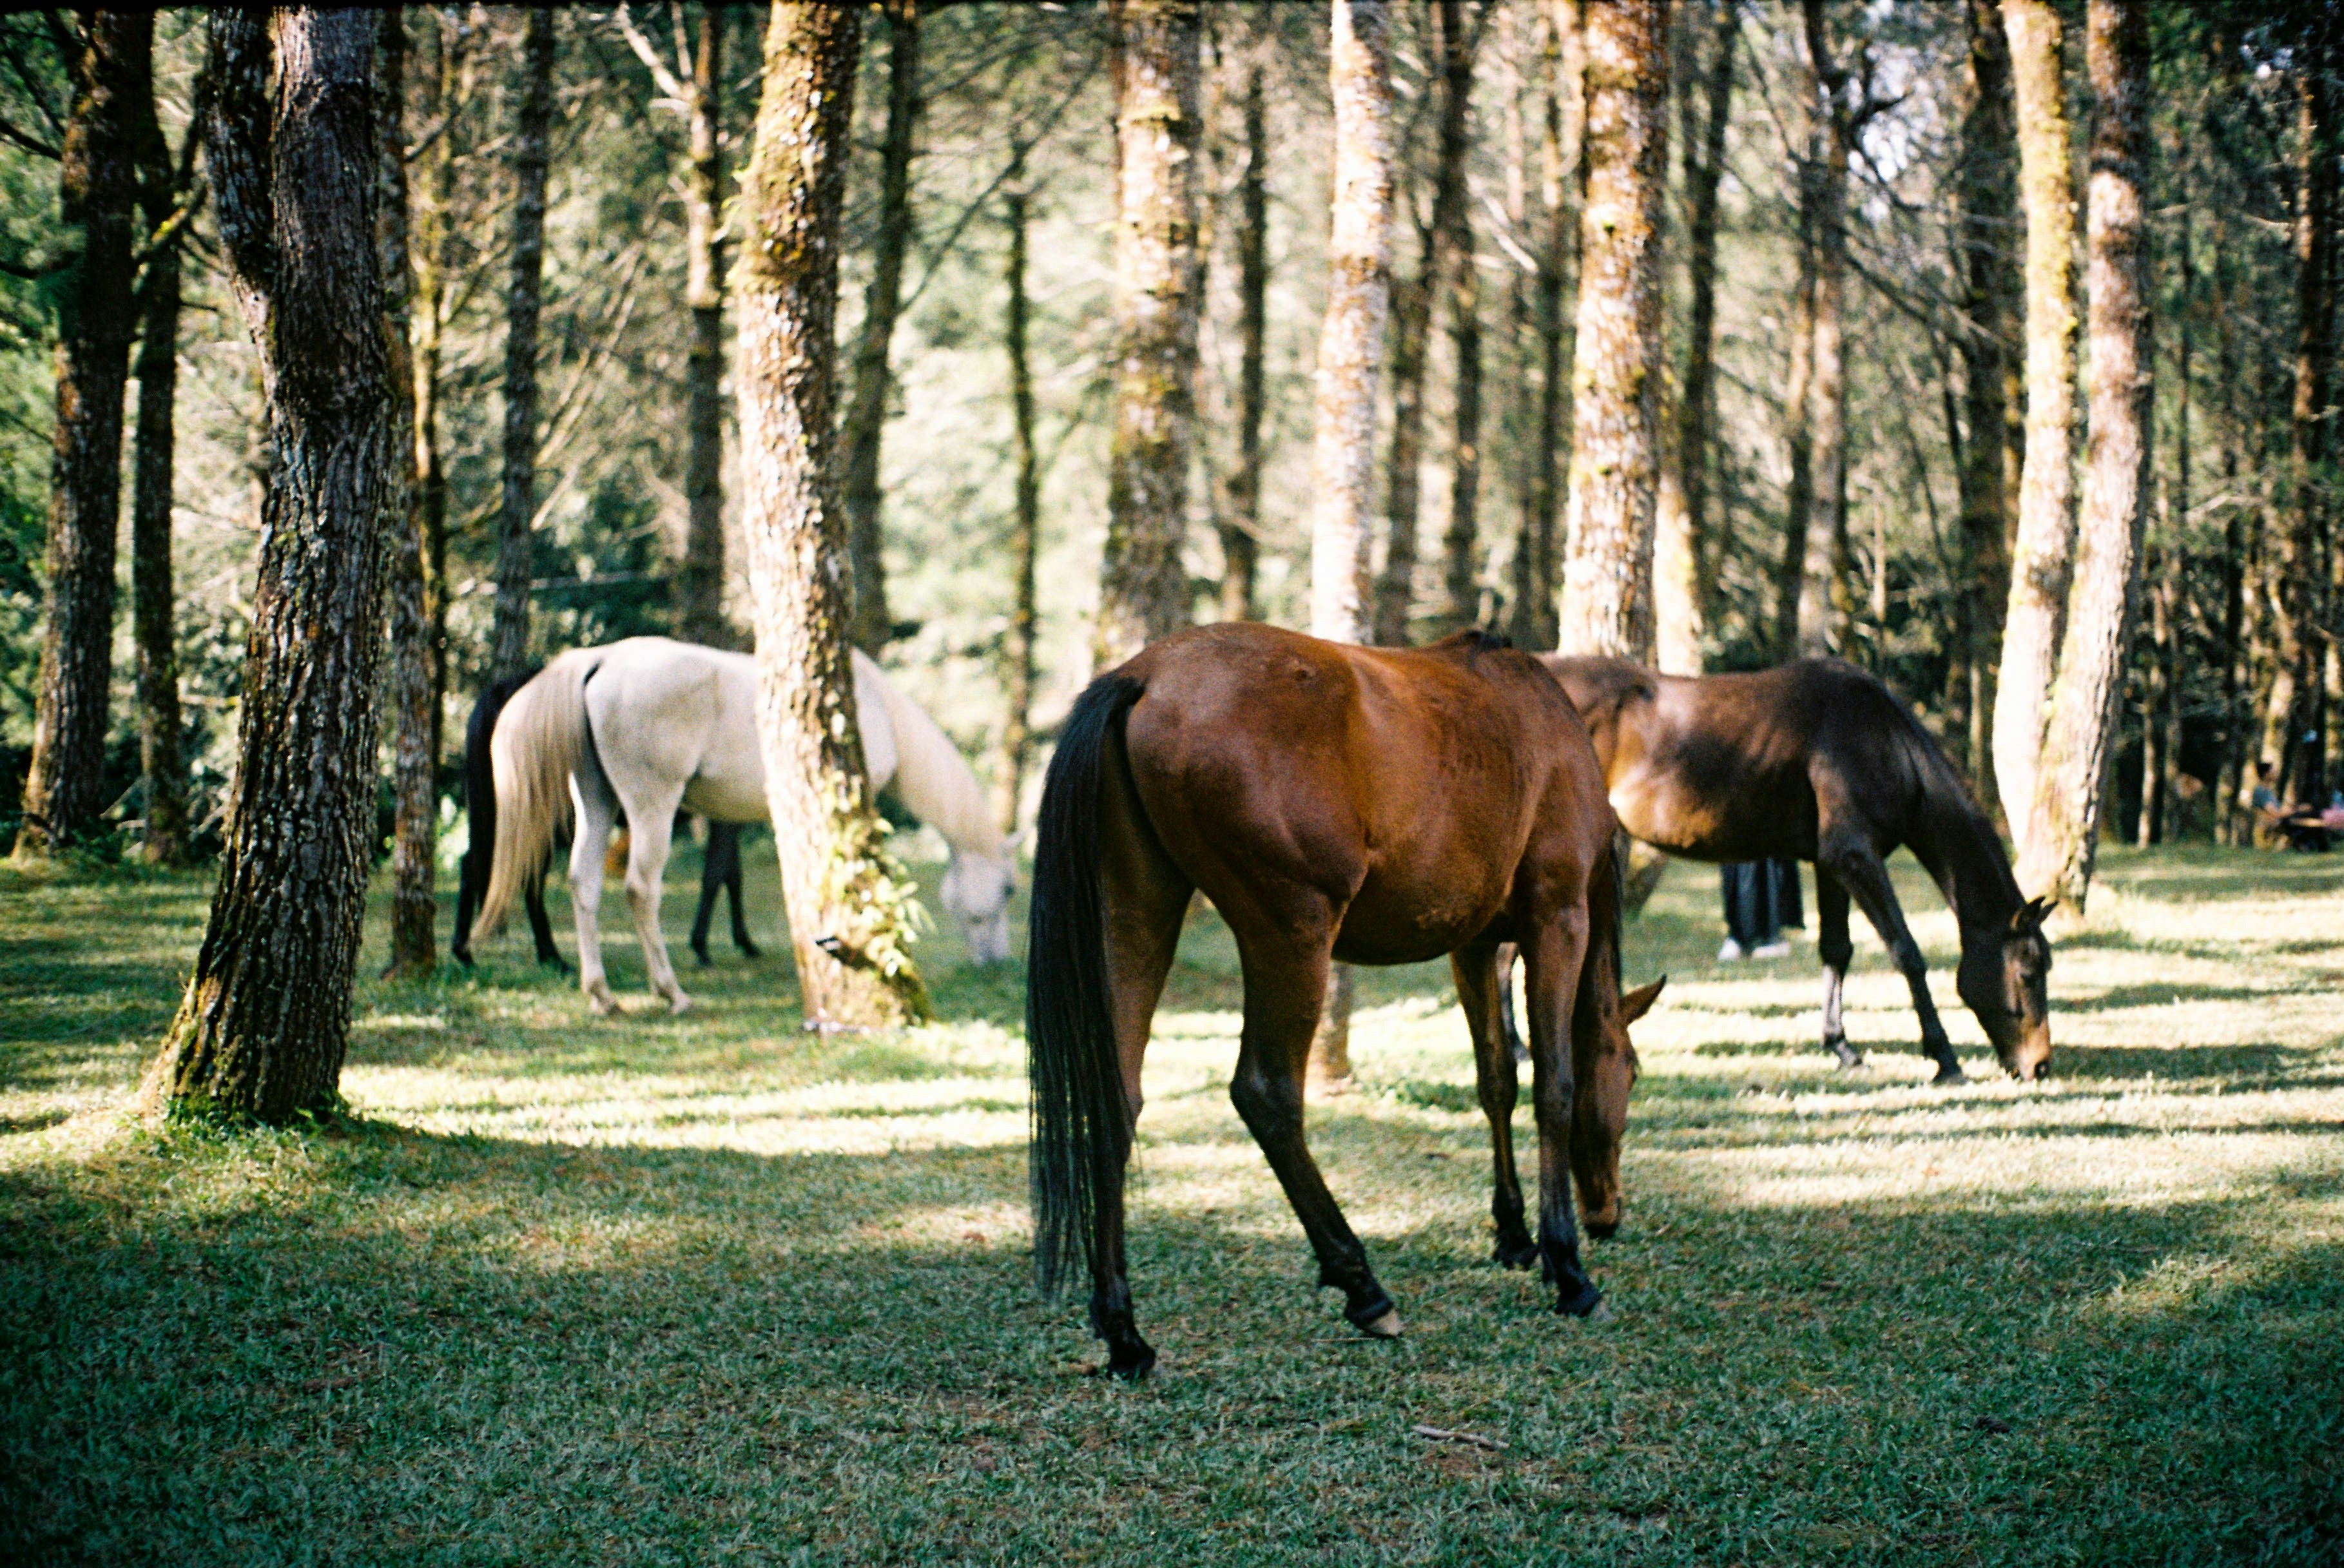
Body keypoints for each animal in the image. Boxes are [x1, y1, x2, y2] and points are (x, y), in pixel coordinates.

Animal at [469, 637, 1017, 1014]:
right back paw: (671, 992)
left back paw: (602, 995)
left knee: (584, 884)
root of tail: (600, 660)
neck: (875, 706)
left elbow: (728, 877)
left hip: (597, 801)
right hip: (651, 807)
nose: (995, 961)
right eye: (1009, 890)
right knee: (640, 889)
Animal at [1028, 624, 1662, 1380]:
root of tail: (1146, 674)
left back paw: (1124, 1333)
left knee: (1117, 1103)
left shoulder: (1475, 946)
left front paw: (1513, 1235)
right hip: (1293, 933)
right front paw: (1566, 1266)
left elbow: (1496, 1081)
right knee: (1266, 1092)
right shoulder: (1557, 919)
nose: (1608, 1215)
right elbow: (1555, 1088)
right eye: (1632, 1074)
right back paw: (1363, 1286)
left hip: (1136, 917)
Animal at [1543, 656, 2053, 1083]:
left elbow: (1836, 949)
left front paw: (1841, 1047)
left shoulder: (1831, 864)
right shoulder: (1854, 857)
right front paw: (1944, 1058)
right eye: (2028, 972)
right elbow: (1906, 952)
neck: (1883, 742)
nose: (2041, 1065)